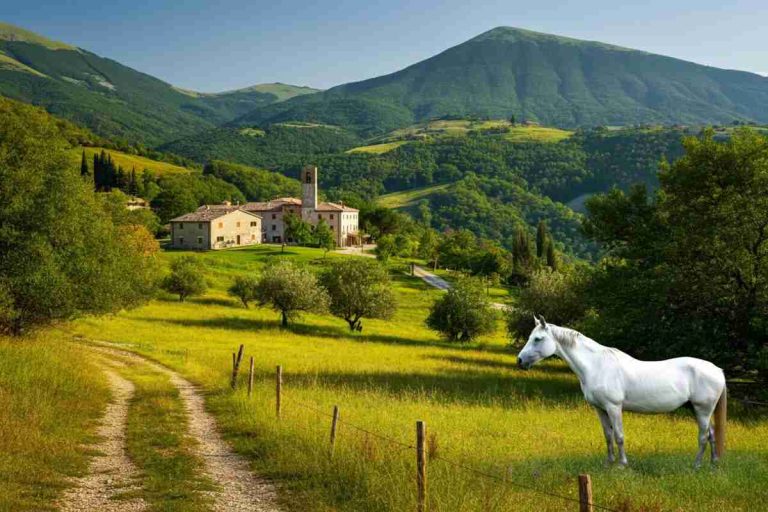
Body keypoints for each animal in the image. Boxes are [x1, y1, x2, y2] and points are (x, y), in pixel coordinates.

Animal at [516, 315, 727, 468]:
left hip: (702, 409)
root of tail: (717, 370)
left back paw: (696, 465)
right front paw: (608, 463)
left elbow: (619, 436)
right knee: (711, 434)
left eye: (538, 339)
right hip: (698, 409)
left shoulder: (613, 407)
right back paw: (713, 464)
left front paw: (622, 465)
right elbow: (608, 436)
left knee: (703, 437)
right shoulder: (600, 409)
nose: (520, 361)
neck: (597, 366)